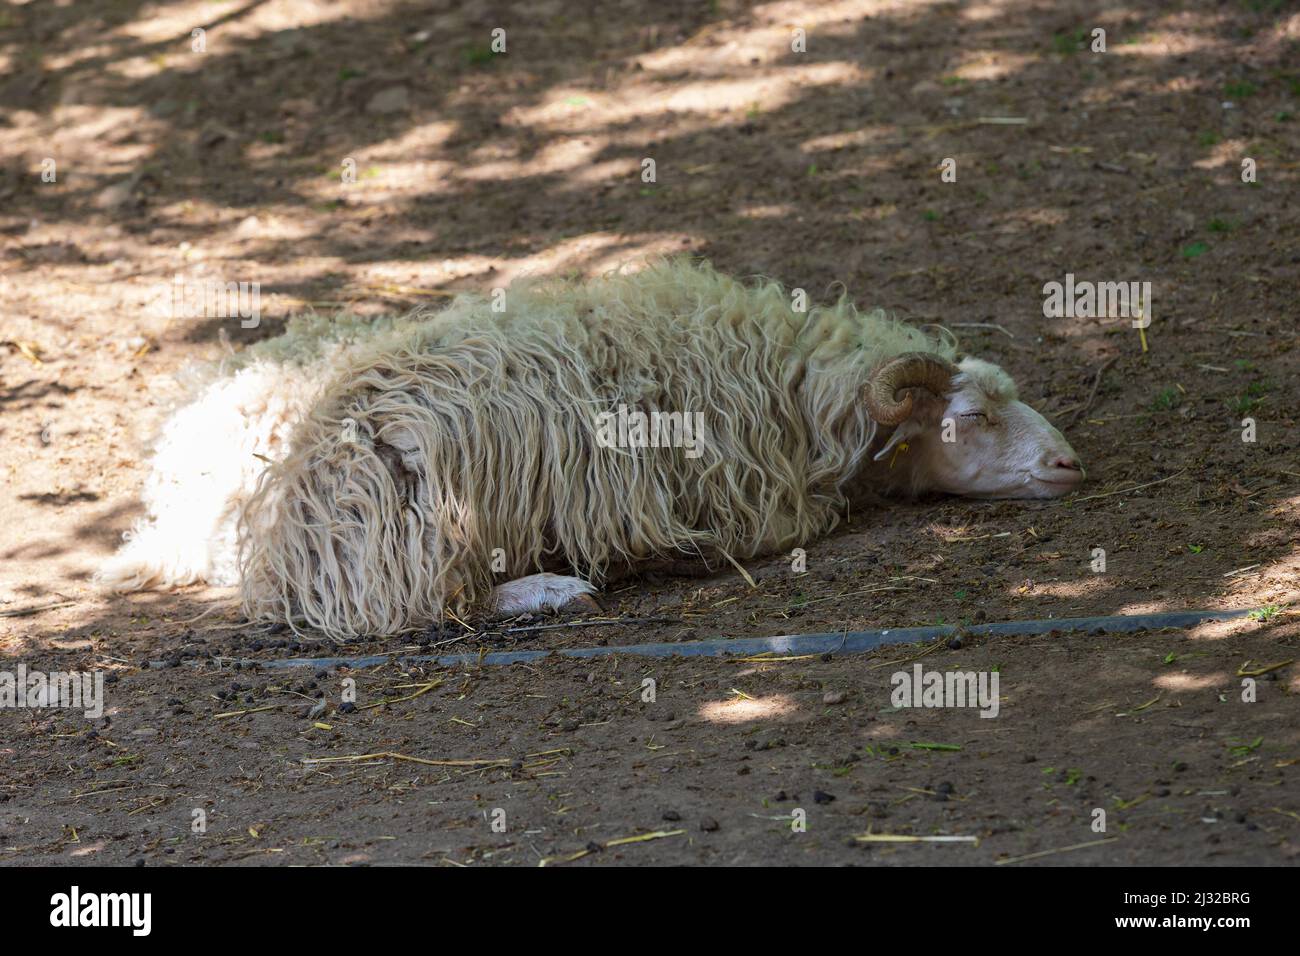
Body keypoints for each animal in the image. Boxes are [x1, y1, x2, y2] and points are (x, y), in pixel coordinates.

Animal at [101, 260, 1084, 639]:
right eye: (972, 417)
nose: (1070, 464)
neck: (790, 387)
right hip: (424, 527)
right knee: (434, 604)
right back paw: (555, 588)